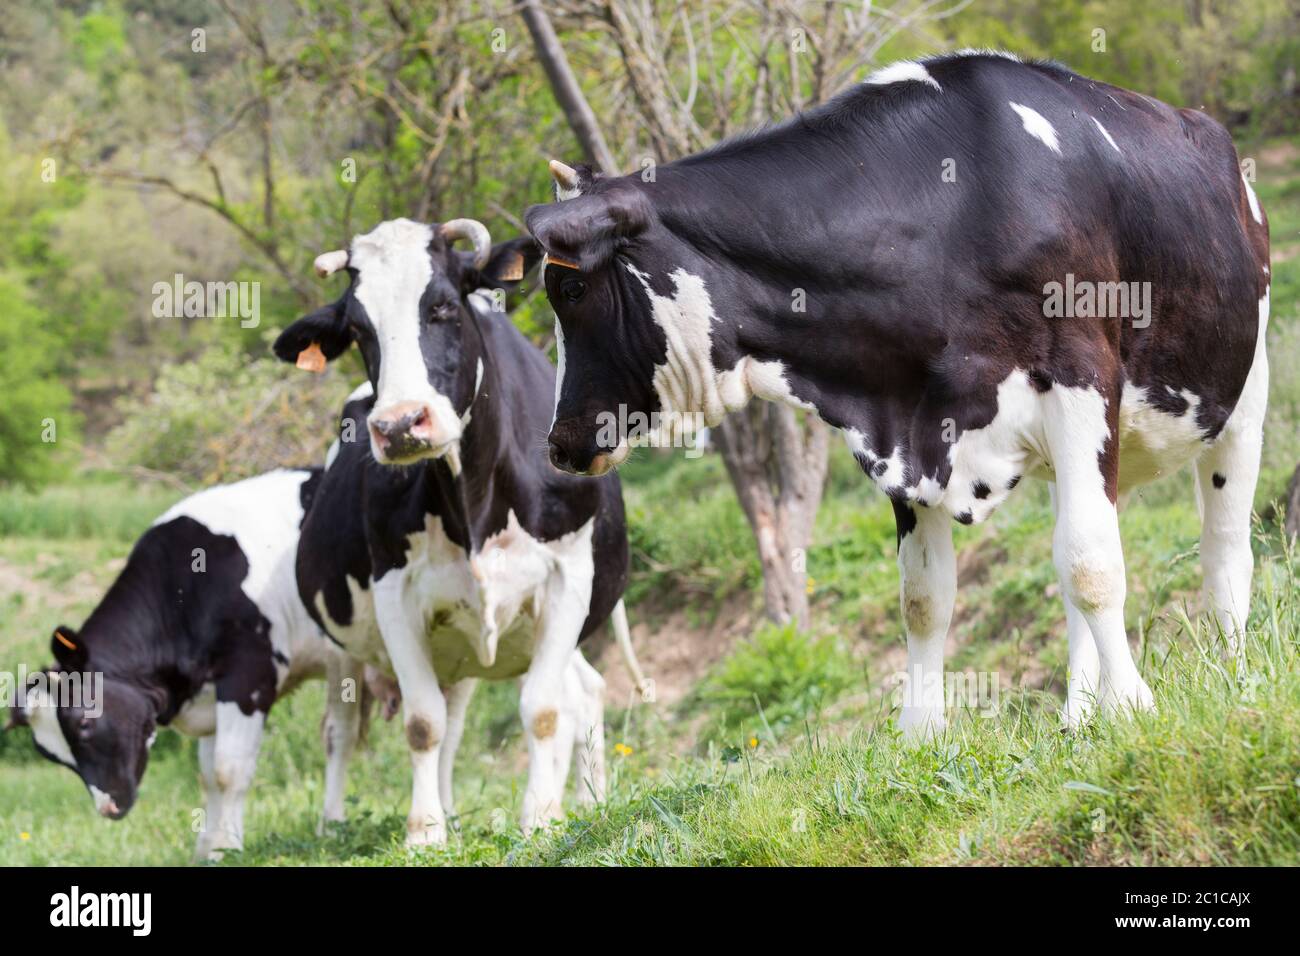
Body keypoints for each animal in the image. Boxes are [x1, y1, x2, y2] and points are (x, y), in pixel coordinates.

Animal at [5, 469, 387, 860]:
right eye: (50, 755)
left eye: (83, 723)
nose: (108, 808)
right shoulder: (209, 694)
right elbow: (207, 775)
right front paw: (206, 850)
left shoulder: (248, 677)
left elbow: (227, 770)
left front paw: (227, 848)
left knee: (339, 736)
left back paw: (332, 826)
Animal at [272, 220, 647, 843]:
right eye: (357, 330)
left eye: (443, 305)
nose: (400, 424)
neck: (474, 499)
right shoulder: (395, 592)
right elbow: (424, 723)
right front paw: (424, 830)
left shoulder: (567, 577)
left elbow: (543, 709)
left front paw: (542, 817)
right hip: (343, 646)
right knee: (344, 728)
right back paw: (337, 823)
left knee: (569, 694)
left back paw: (579, 800)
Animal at [524, 51, 1271, 739]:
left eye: (572, 288)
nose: (558, 442)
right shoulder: (902, 432)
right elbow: (925, 595)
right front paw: (921, 735)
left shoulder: (1081, 380)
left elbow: (1092, 563)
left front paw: (1132, 708)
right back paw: (1077, 711)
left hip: (1242, 395)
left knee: (1224, 544)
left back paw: (1234, 675)